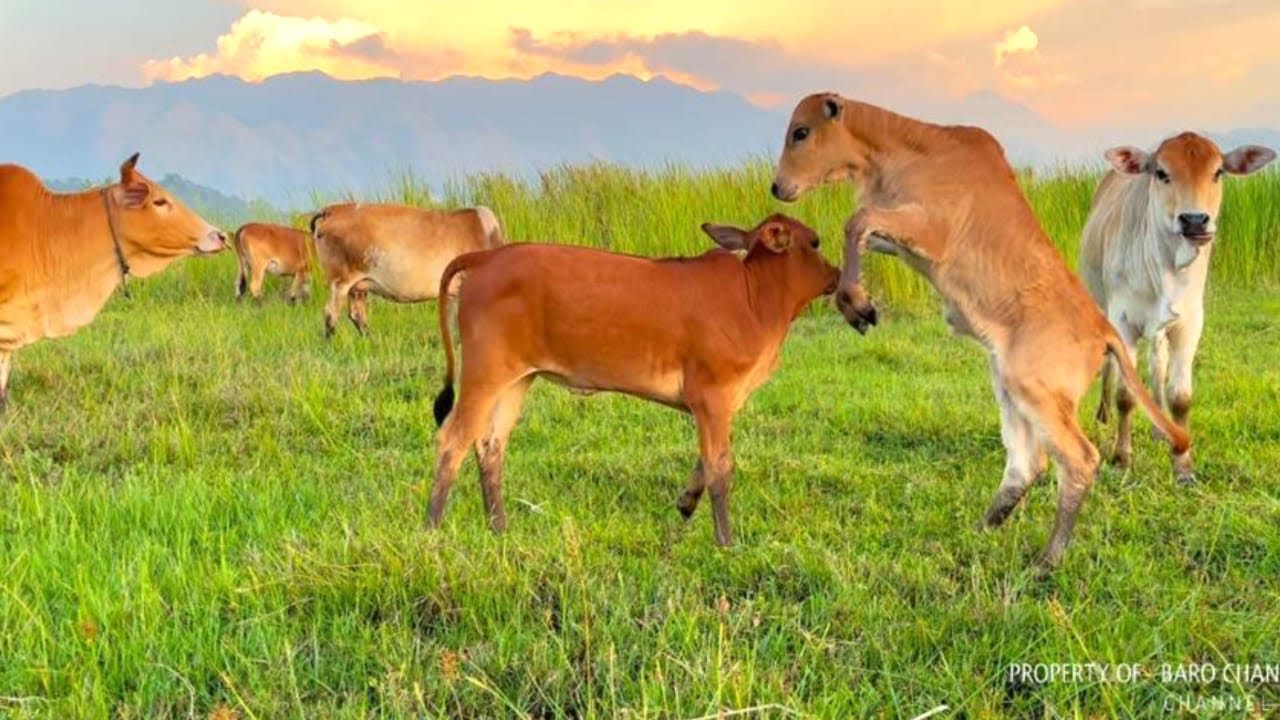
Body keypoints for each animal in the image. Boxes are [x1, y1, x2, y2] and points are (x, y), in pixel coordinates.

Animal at [426, 214, 839, 546]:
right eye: (815, 242)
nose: (837, 275)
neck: (753, 298)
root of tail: (488, 257)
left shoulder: (713, 405)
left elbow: (705, 461)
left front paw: (686, 502)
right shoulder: (713, 396)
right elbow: (720, 468)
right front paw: (726, 542)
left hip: (515, 381)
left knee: (490, 445)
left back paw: (499, 527)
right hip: (485, 373)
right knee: (453, 440)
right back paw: (432, 530)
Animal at [770, 93, 1190, 569]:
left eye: (801, 132)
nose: (778, 187)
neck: (908, 150)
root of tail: (1104, 331)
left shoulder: (928, 231)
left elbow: (855, 220)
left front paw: (857, 304)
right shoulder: (896, 236)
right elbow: (858, 232)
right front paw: (852, 298)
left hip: (1035, 390)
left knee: (1078, 459)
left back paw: (1046, 560)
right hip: (1009, 387)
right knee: (1028, 464)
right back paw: (979, 531)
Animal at [1080, 133, 1274, 483]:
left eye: (1218, 172)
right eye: (1161, 173)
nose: (1194, 220)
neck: (1166, 266)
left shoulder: (1189, 323)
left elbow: (1180, 396)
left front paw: (1183, 465)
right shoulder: (1123, 321)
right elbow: (1125, 394)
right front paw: (1121, 459)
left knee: (1158, 363)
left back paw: (1160, 428)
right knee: (1109, 365)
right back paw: (1103, 417)